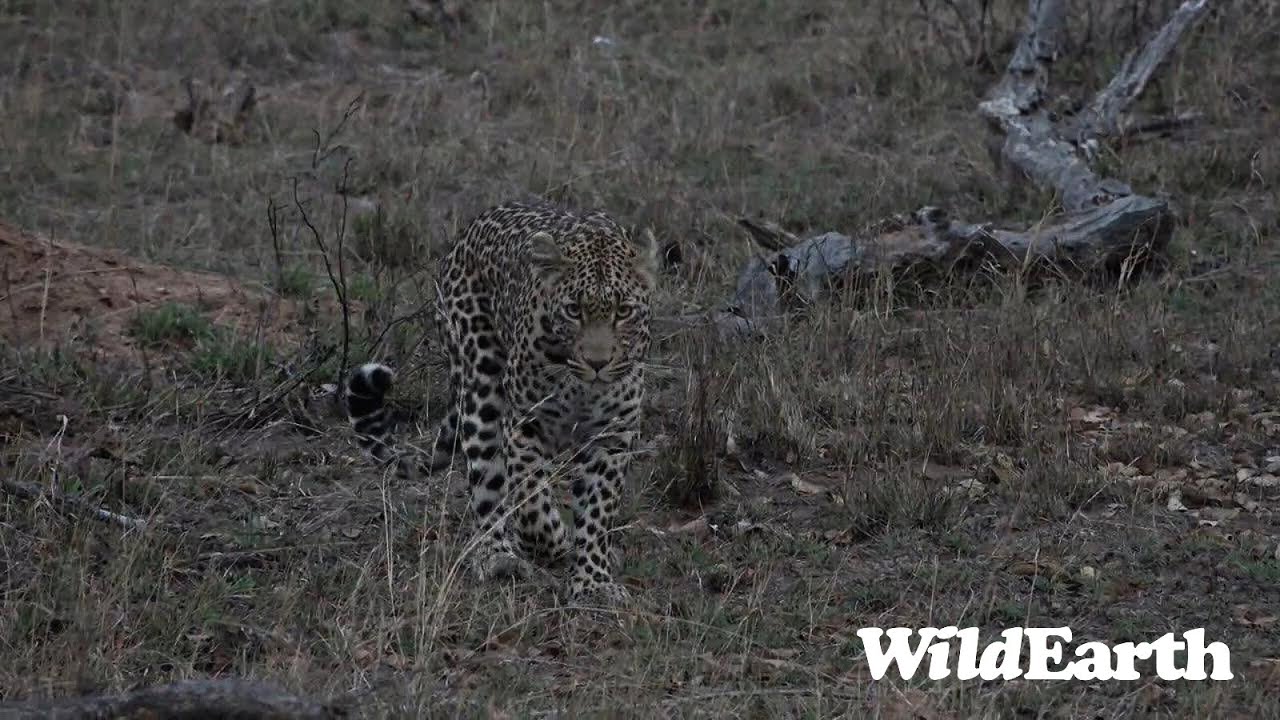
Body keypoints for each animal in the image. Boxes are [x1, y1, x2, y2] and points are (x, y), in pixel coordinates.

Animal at [344, 200, 658, 604]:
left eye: (623, 311)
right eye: (573, 310)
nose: (598, 362)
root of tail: (467, 233)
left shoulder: (613, 435)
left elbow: (598, 510)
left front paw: (592, 582)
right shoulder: (524, 425)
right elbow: (530, 499)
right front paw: (553, 541)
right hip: (481, 384)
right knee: (486, 484)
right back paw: (499, 557)